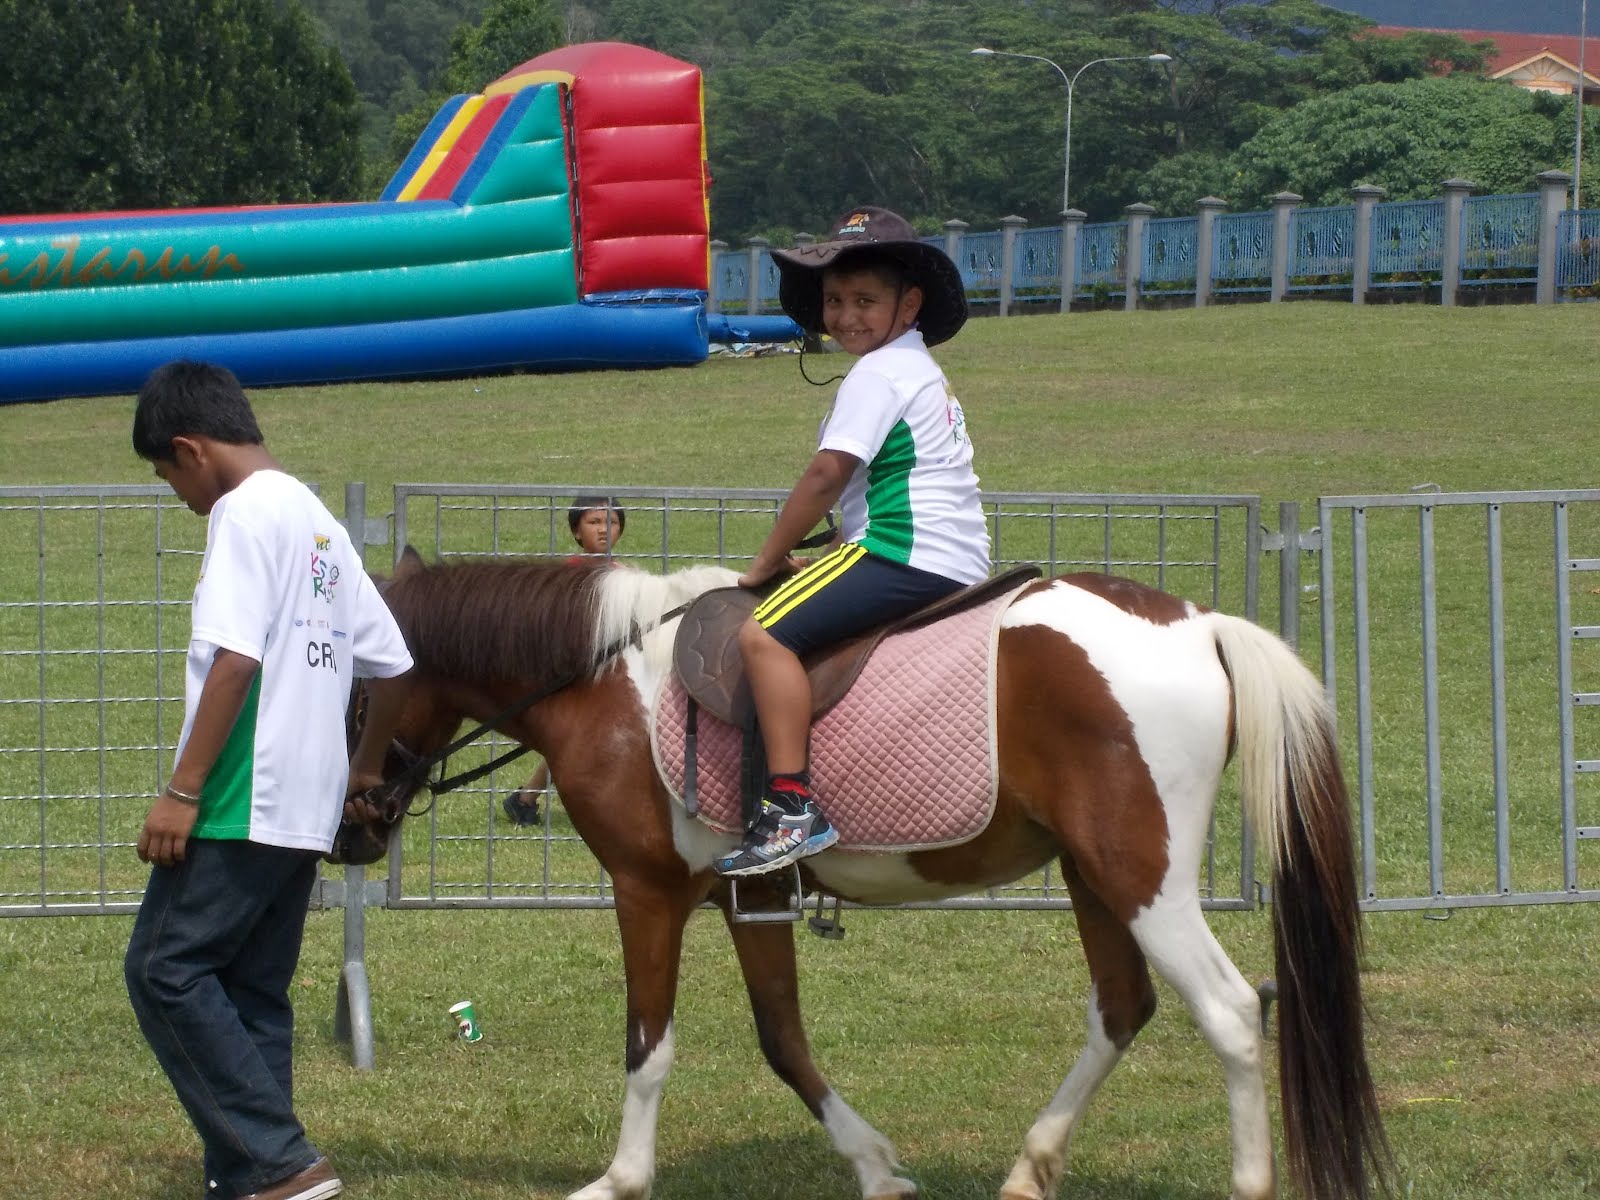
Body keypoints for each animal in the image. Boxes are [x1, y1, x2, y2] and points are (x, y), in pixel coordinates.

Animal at [340, 548, 1390, 1200]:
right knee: (1122, 1008)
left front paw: (621, 1177)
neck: (609, 686)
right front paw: (876, 1165)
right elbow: (783, 1040)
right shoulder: (753, 898)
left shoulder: (647, 892)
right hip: (1097, 878)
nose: (348, 834)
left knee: (1230, 1012)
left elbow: (649, 1045)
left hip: (1145, 878)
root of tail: (1197, 623)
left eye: (348, 688)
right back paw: (1030, 1164)